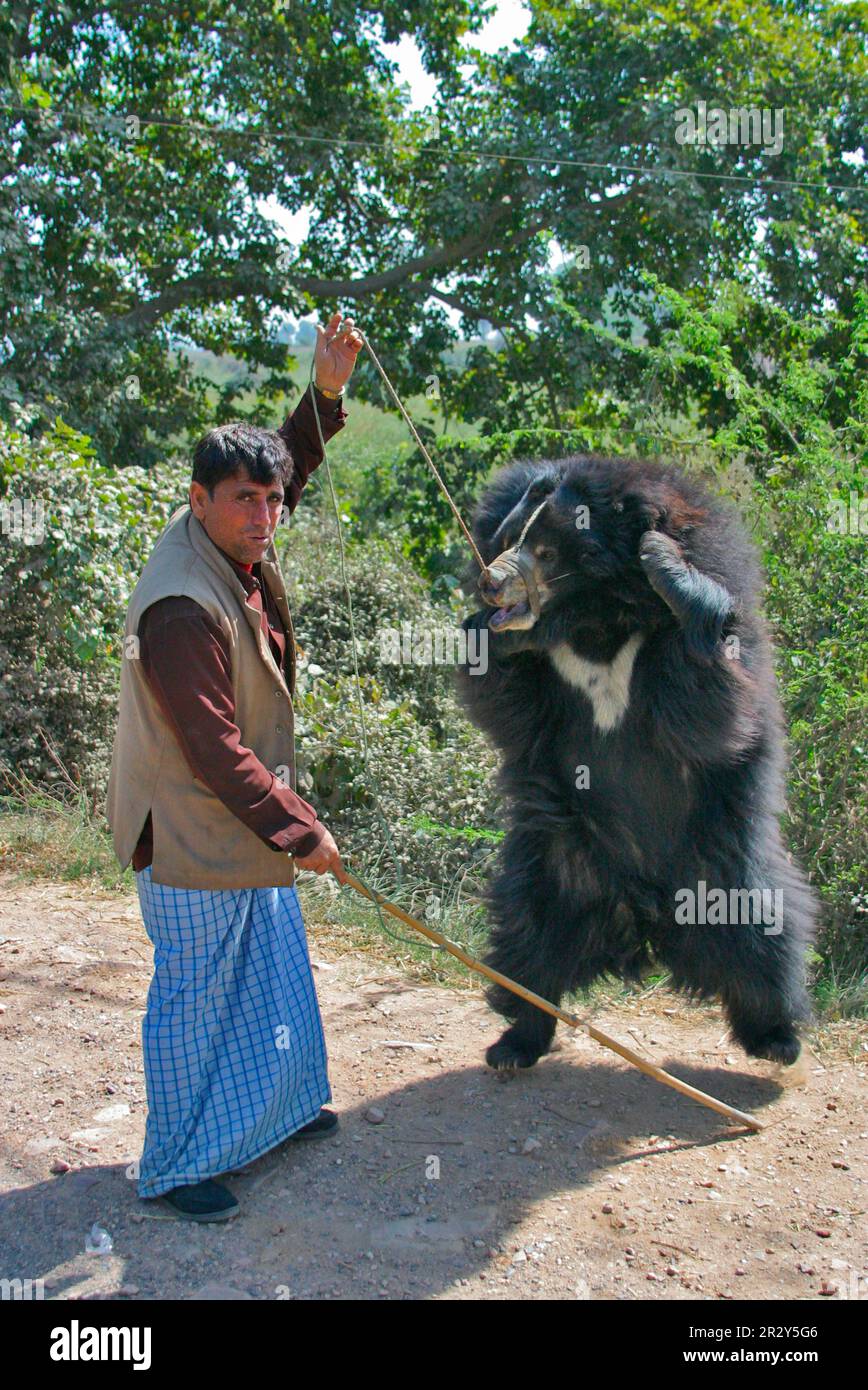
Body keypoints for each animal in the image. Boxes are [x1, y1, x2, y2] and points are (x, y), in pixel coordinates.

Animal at [455, 452, 817, 1072]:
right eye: (504, 538)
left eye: (547, 552)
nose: (490, 583)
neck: (593, 619)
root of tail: (640, 907)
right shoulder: (541, 670)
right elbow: (508, 706)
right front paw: (487, 635)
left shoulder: (684, 625)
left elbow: (711, 714)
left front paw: (664, 563)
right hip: (556, 862)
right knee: (528, 941)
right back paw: (516, 1040)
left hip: (720, 866)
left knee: (764, 939)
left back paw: (776, 1037)